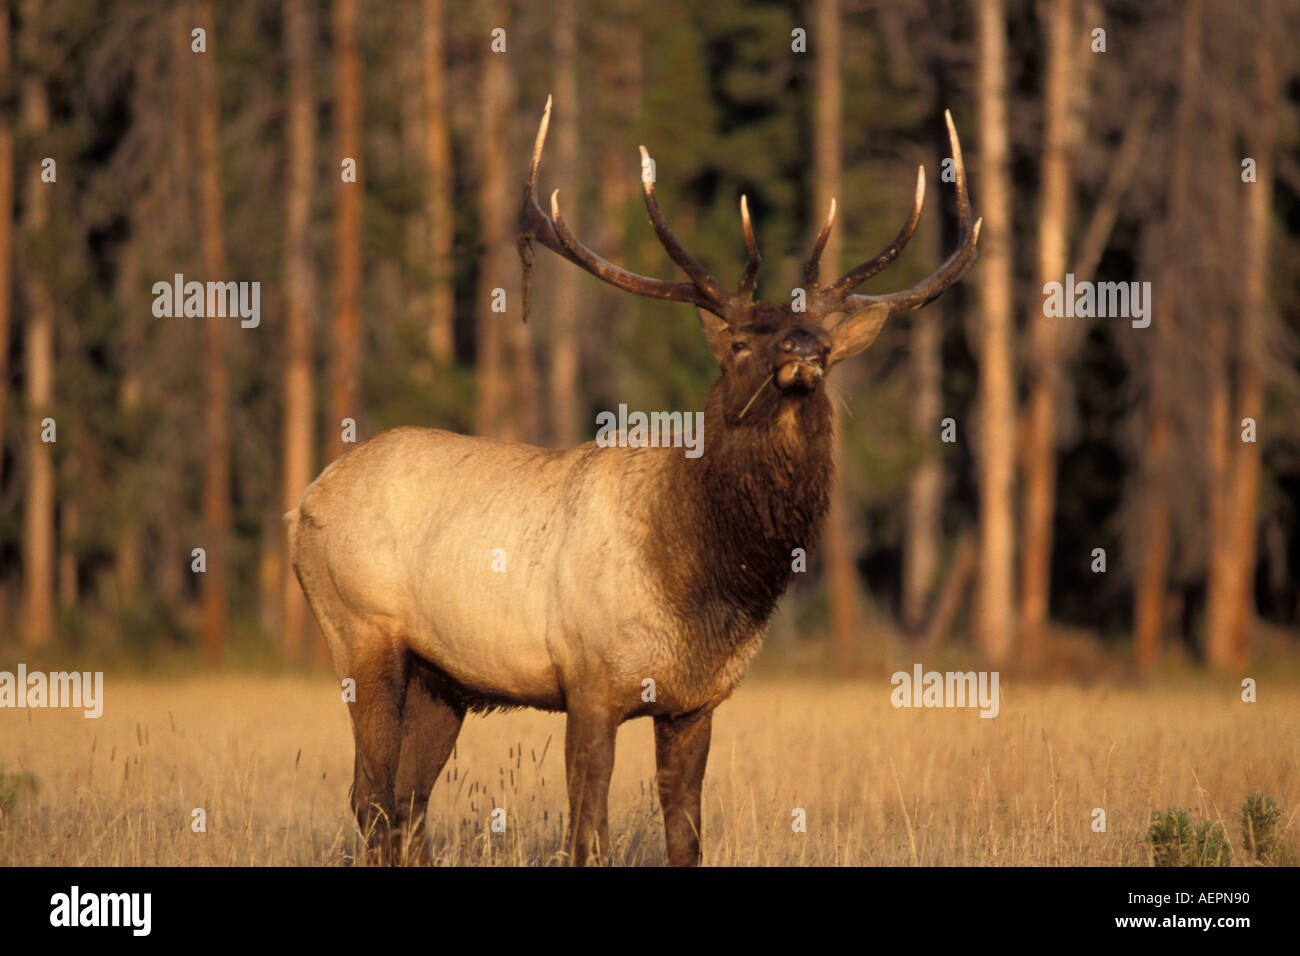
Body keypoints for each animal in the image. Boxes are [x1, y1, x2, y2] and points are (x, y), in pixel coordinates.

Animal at [286, 97, 979, 866]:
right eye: (741, 341)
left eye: (824, 344)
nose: (803, 350)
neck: (707, 583)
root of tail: (306, 499)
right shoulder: (589, 680)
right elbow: (588, 834)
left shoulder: (696, 700)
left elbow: (686, 837)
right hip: (359, 632)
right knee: (371, 798)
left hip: (445, 680)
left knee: (408, 802)